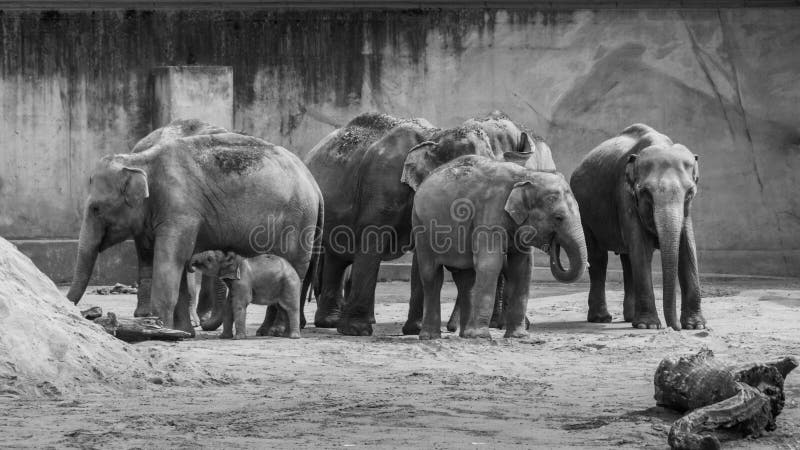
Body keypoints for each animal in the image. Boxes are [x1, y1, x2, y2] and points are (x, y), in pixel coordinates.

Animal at [66, 120, 323, 335]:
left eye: (96, 209)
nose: (93, 313)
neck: (139, 160)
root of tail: (314, 184)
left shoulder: (180, 209)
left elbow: (171, 261)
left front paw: (161, 329)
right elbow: (178, 266)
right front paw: (182, 332)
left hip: (298, 222)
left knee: (294, 269)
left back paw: (277, 332)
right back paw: (264, 331)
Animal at [411, 155, 588, 339]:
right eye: (558, 217)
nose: (553, 247)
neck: (526, 175)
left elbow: (522, 268)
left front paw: (519, 337)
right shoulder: (490, 214)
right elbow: (490, 264)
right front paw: (480, 336)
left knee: (466, 280)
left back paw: (465, 335)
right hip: (420, 226)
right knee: (431, 275)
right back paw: (431, 336)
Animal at [570, 123, 705, 330]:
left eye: (690, 192)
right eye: (645, 193)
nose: (674, 327)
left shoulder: (686, 211)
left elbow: (687, 248)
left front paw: (696, 326)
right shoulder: (625, 195)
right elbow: (641, 248)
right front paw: (648, 326)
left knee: (627, 260)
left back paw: (629, 318)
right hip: (583, 212)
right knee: (598, 258)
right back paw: (601, 319)